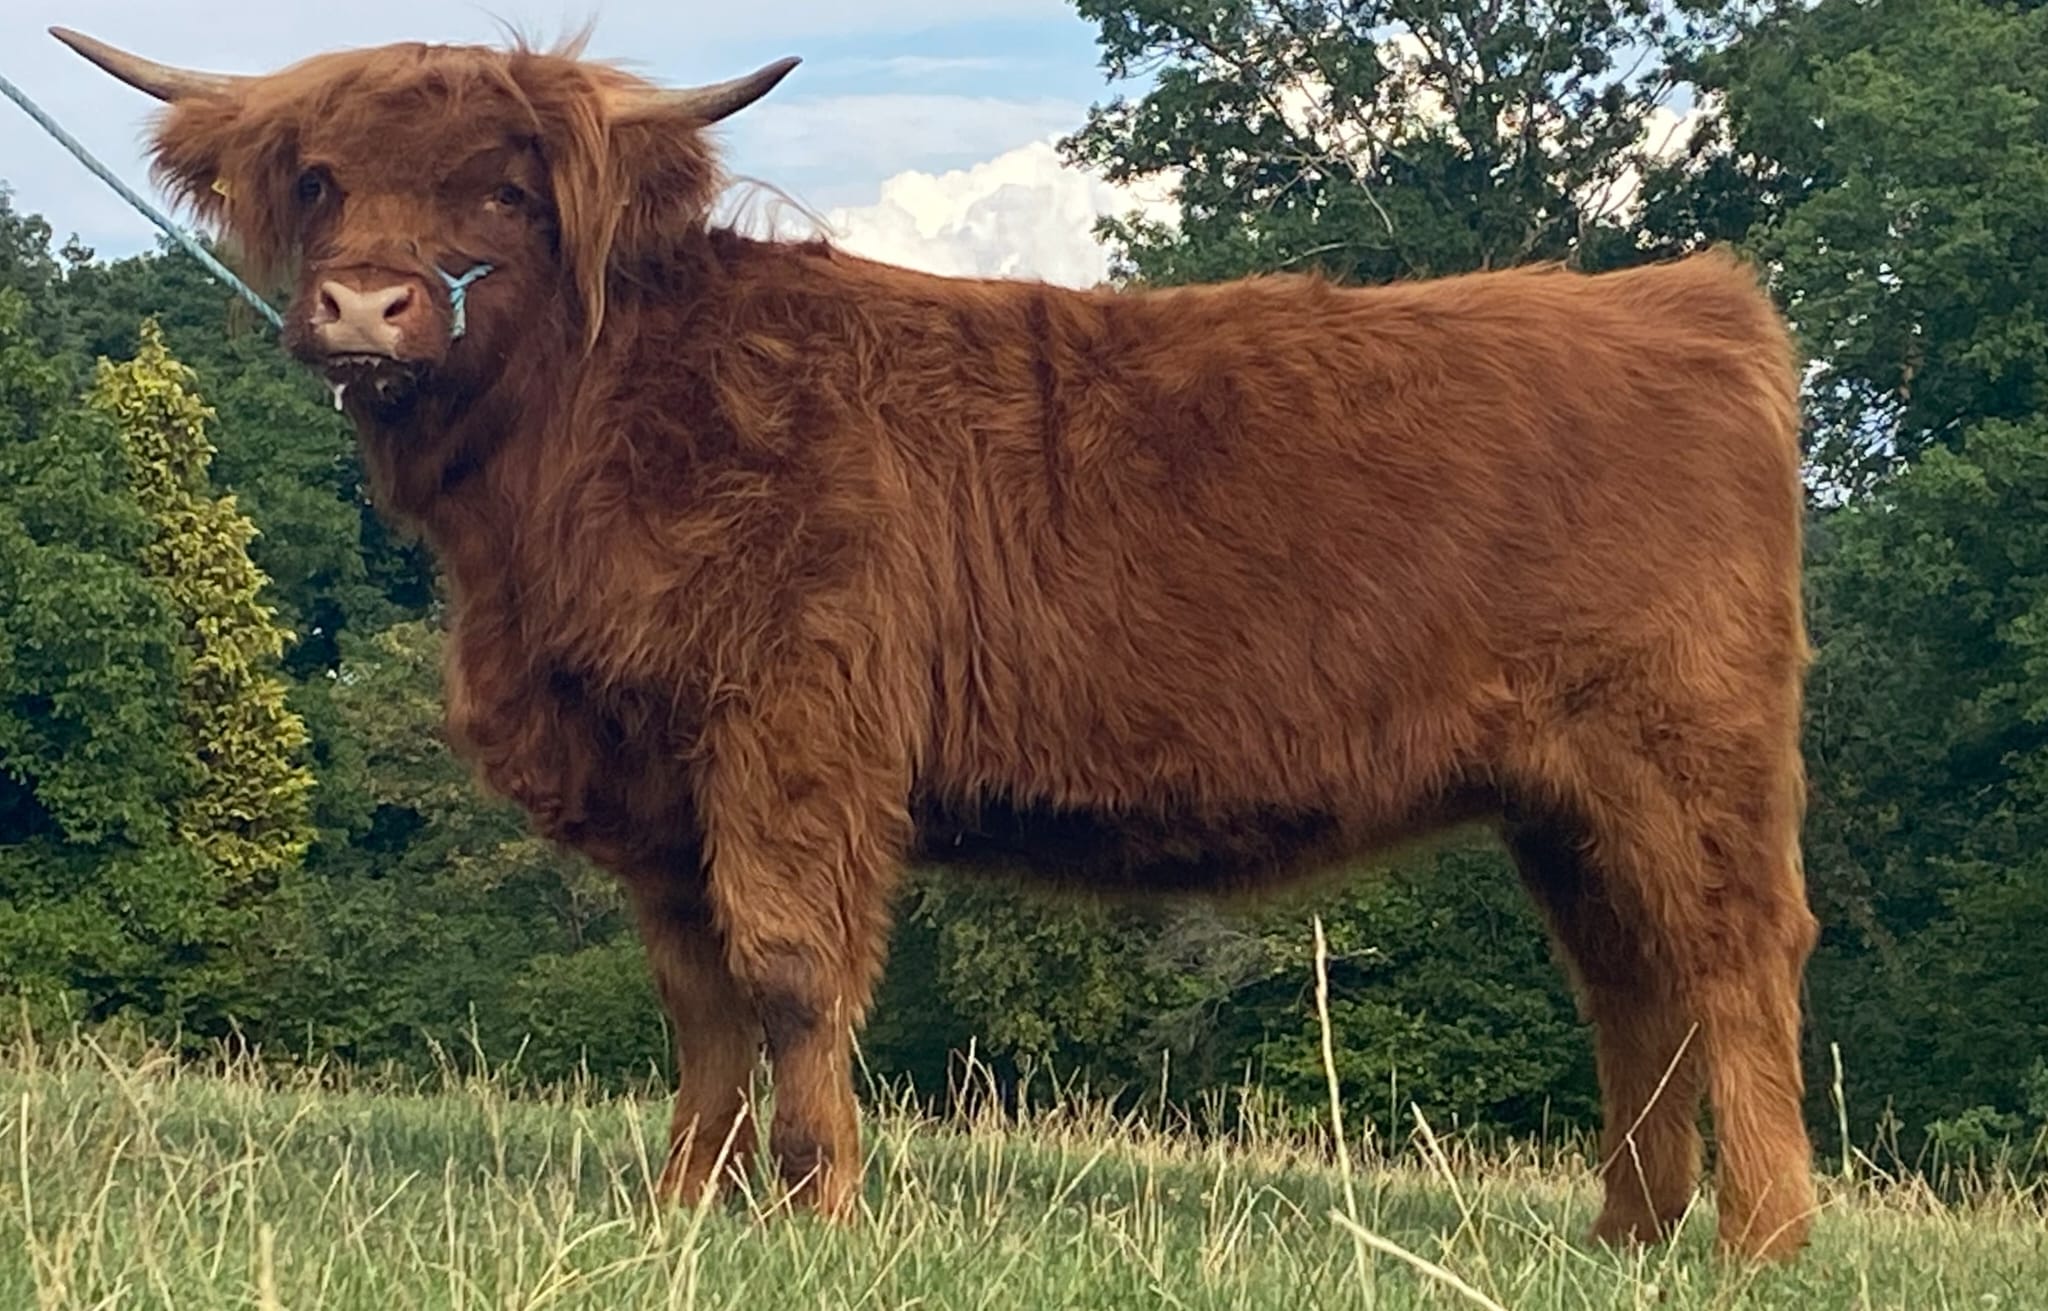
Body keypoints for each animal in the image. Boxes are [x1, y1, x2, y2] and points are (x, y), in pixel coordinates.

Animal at [55, 25, 1822, 1261]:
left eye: (503, 186)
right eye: (319, 180)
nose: (365, 306)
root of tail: (1689, 306)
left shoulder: (793, 727)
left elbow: (786, 968)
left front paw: (818, 1203)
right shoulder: (655, 777)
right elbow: (695, 992)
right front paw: (685, 1199)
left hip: (1686, 747)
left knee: (1732, 959)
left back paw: (1764, 1237)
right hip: (1564, 795)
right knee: (1632, 983)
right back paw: (1629, 1235)